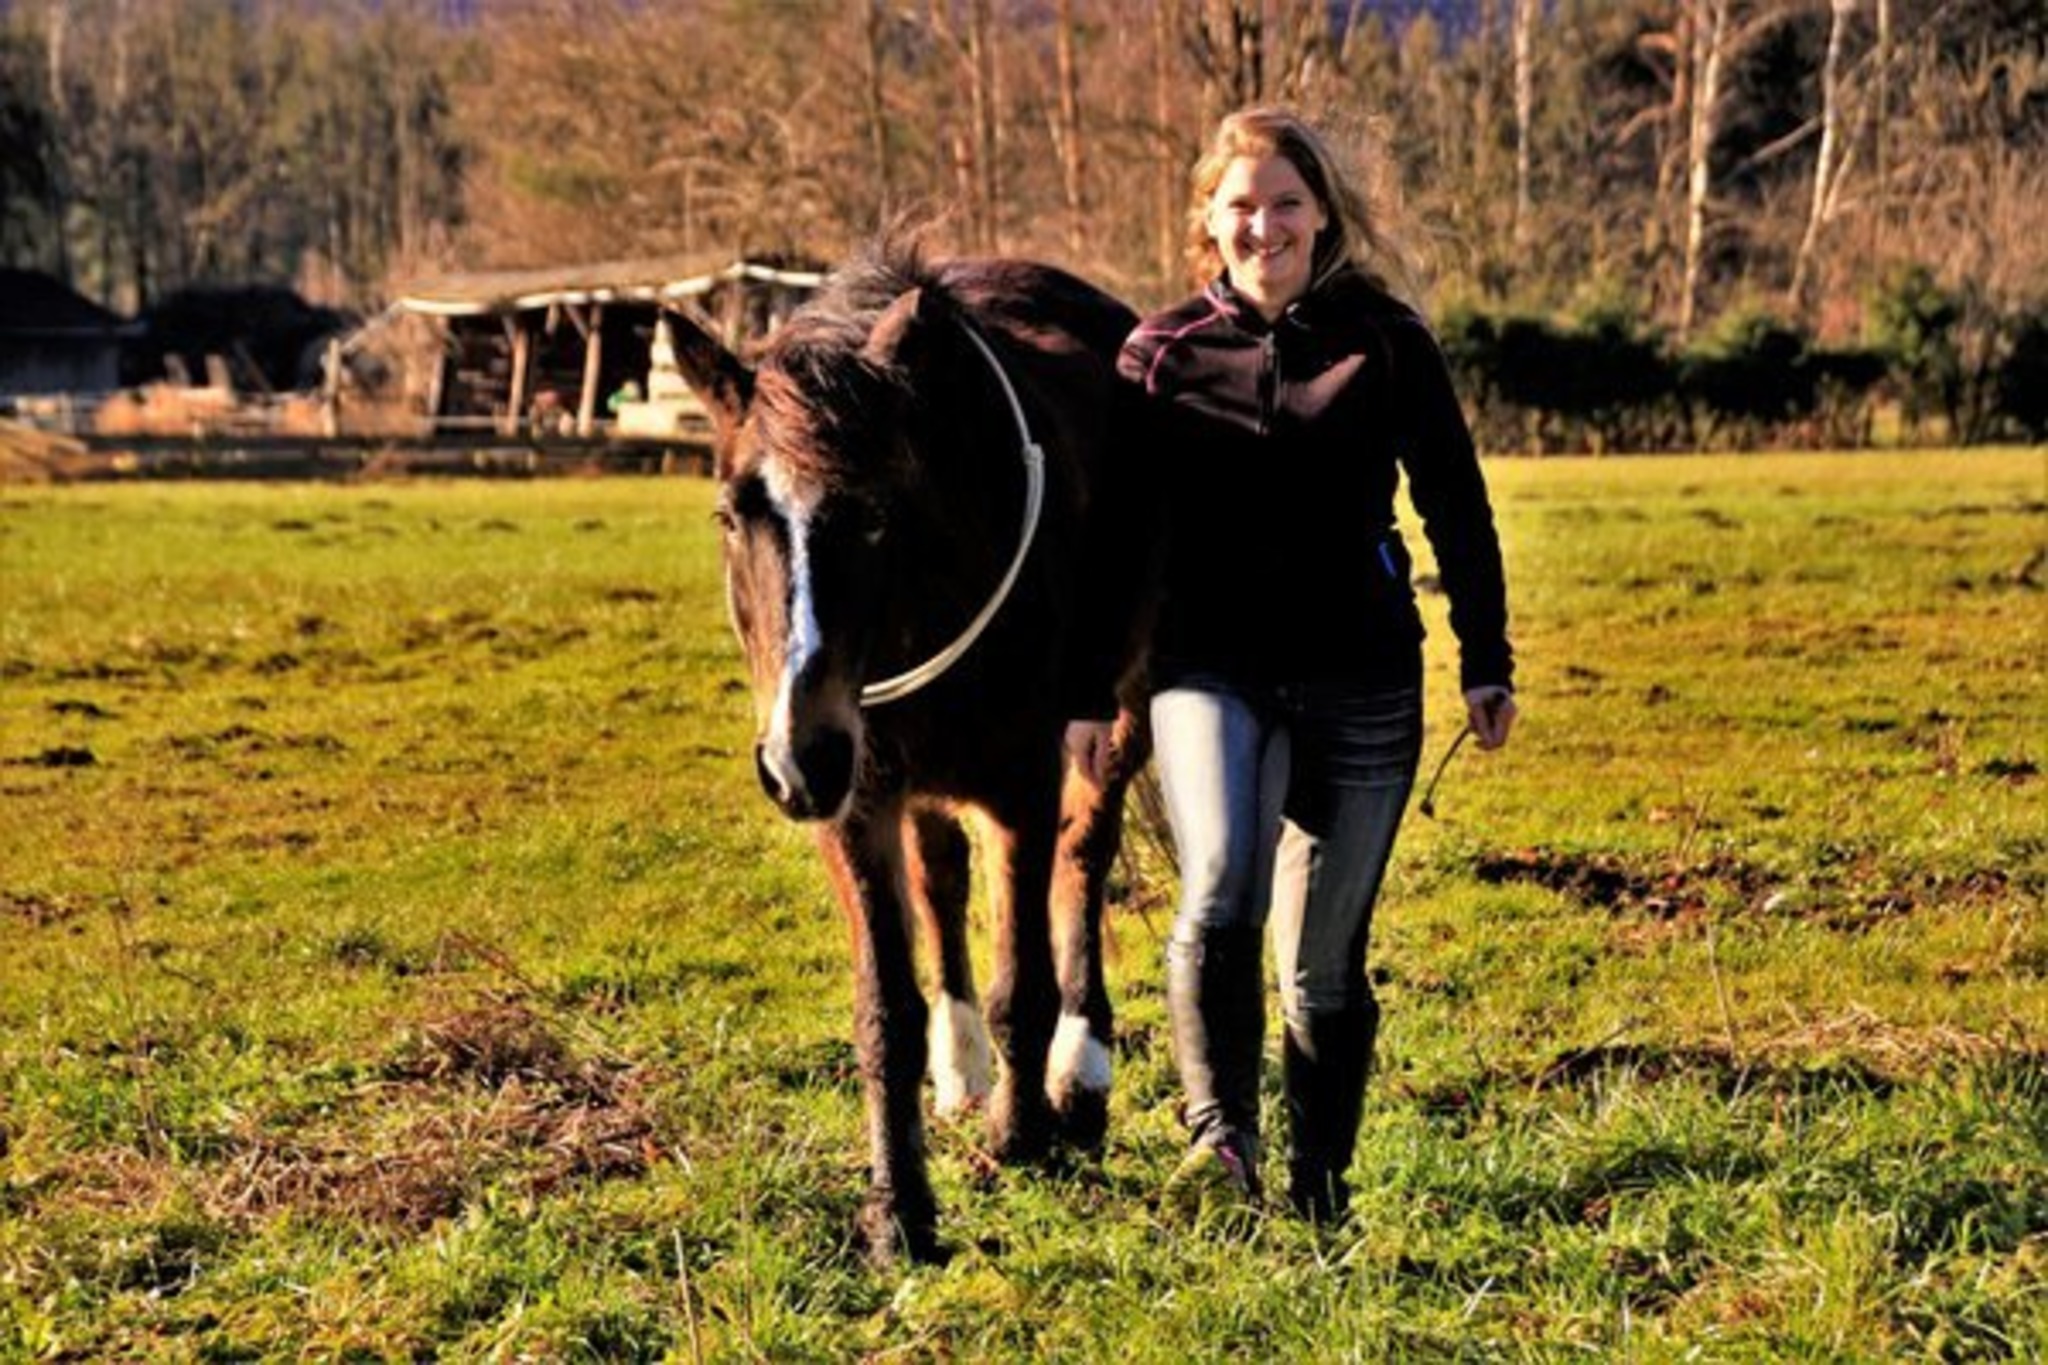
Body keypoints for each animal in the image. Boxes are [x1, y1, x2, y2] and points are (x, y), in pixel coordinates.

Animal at [663, 242, 1151, 1264]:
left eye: (880, 513)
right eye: (731, 516)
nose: (796, 759)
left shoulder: (1020, 782)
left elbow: (1023, 982)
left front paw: (1025, 1136)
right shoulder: (858, 801)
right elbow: (886, 1008)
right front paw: (900, 1210)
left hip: (1117, 716)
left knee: (1084, 860)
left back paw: (1079, 1072)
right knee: (942, 879)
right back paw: (963, 1069)